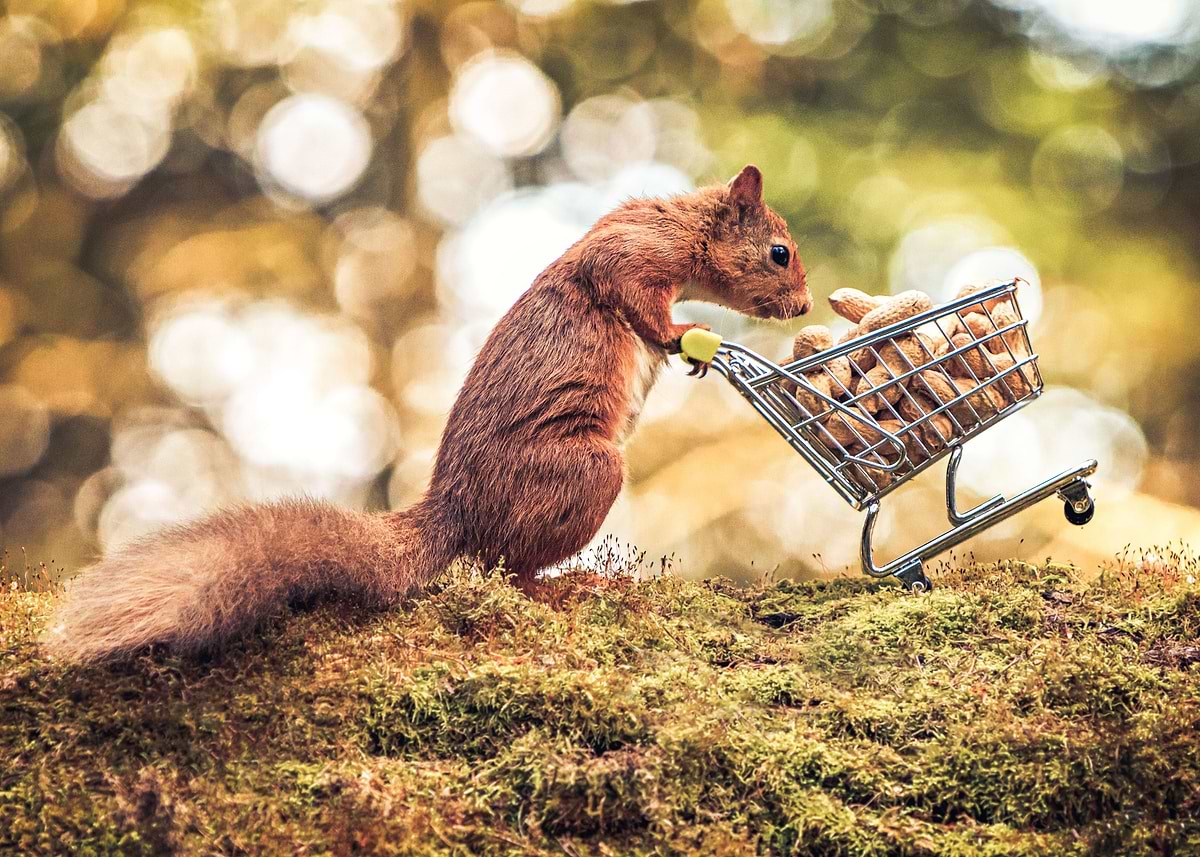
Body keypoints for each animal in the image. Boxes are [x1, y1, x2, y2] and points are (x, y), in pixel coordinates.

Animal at [43, 165, 811, 663]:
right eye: (780, 253)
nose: (805, 305)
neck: (682, 226)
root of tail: (455, 509)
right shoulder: (631, 255)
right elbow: (634, 299)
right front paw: (688, 337)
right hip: (586, 471)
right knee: (507, 567)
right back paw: (570, 586)